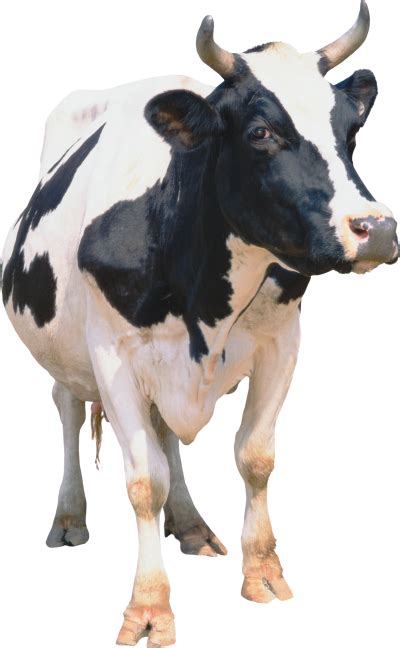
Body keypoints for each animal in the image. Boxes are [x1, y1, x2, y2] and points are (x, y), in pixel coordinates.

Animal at [1, 1, 398, 645]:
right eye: (261, 132)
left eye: (351, 131)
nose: (378, 230)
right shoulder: (113, 354)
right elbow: (144, 481)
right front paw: (148, 609)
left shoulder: (281, 341)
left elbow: (255, 457)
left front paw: (263, 573)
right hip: (64, 351)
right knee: (66, 408)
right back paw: (68, 517)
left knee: (166, 432)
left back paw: (189, 524)